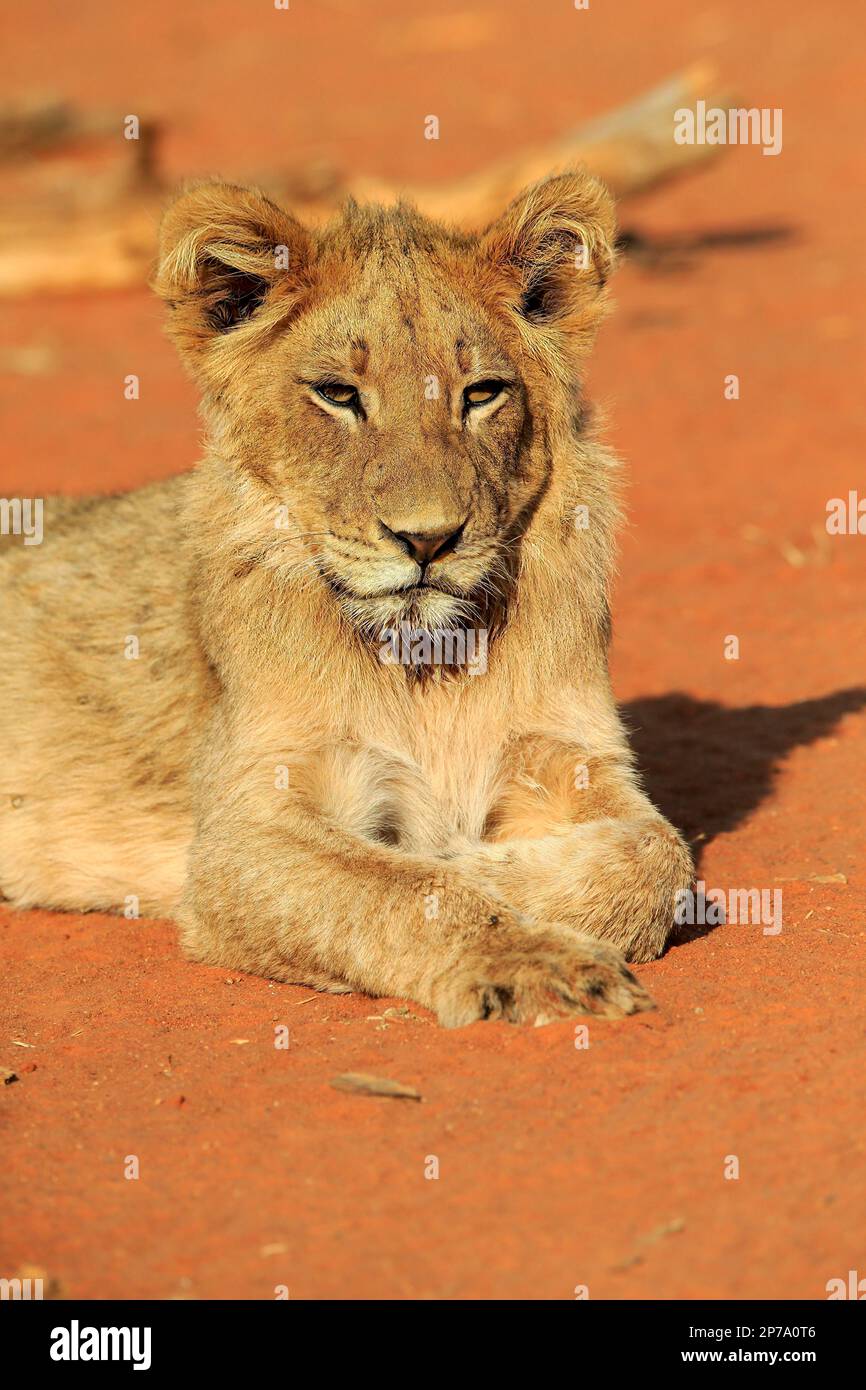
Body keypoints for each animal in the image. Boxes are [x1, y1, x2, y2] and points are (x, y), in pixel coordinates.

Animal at [0, 170, 693, 1026]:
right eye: (337, 393)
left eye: (482, 393)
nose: (428, 540)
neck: (430, 668)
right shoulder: (242, 835)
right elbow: (407, 889)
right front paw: (528, 950)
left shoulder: (571, 753)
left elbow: (658, 856)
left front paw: (480, 860)